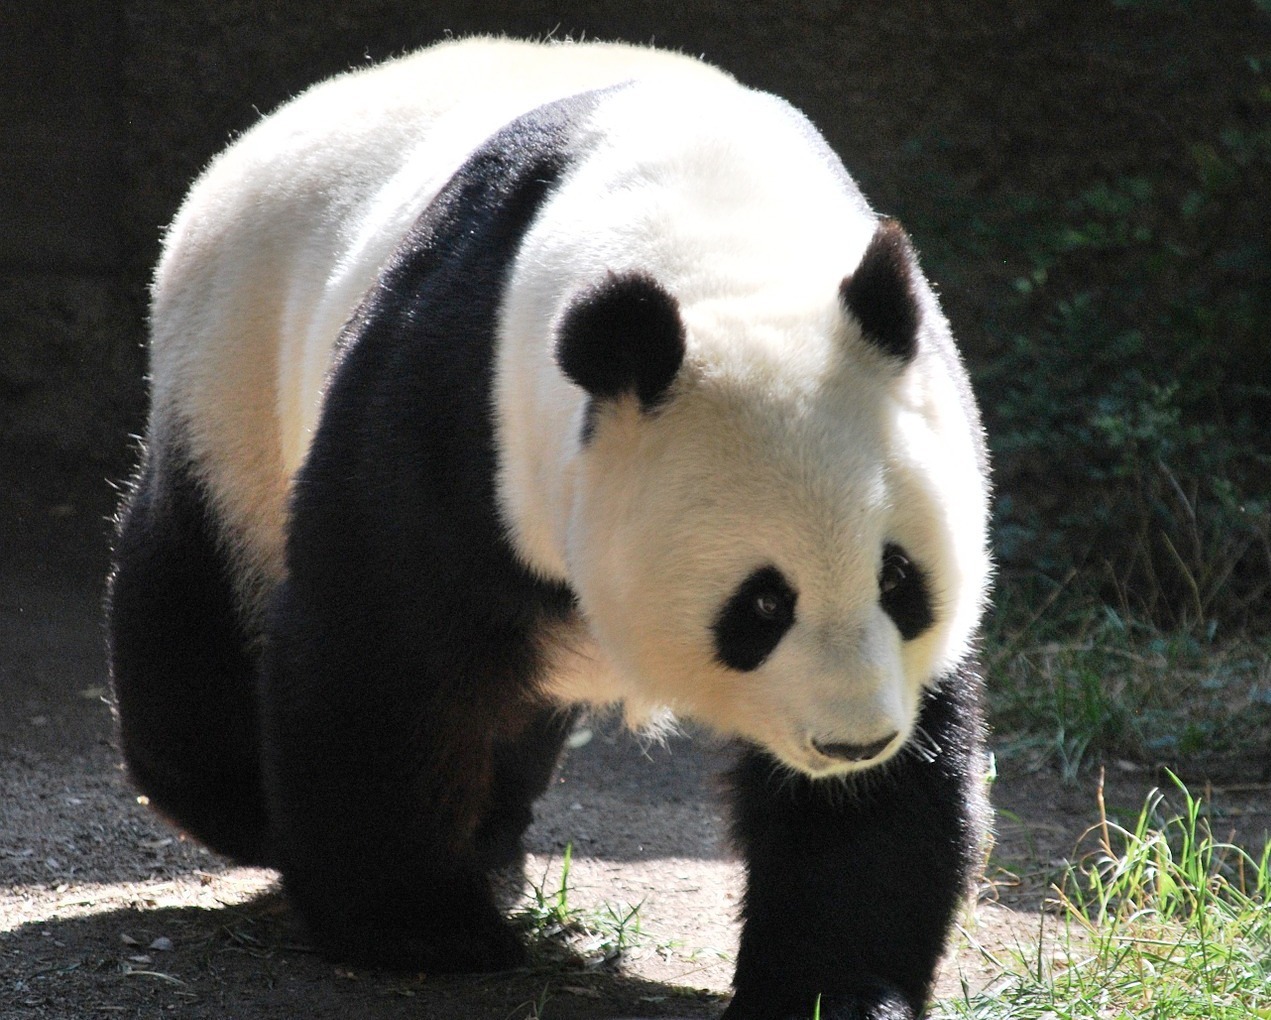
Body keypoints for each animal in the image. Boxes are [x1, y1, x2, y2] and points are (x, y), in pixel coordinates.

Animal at [107, 37, 992, 1020]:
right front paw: (420, 928)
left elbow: (883, 796)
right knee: (198, 609)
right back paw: (247, 805)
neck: (716, 241)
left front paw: (832, 986)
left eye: (899, 580)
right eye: (762, 605)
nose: (852, 742)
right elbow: (383, 654)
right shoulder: (458, 399)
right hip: (236, 382)